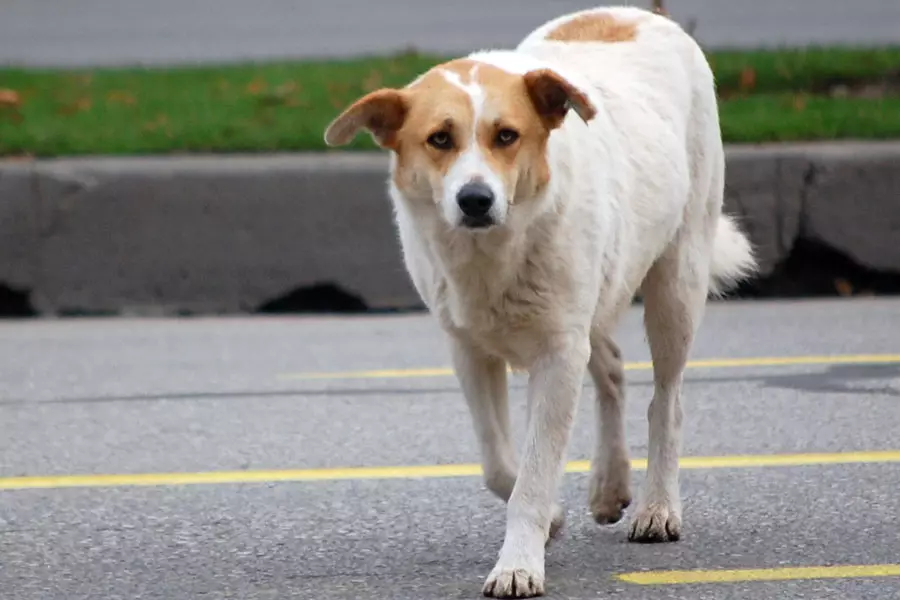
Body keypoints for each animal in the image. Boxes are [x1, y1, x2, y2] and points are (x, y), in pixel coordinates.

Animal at [326, 3, 760, 596]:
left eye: (507, 135)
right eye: (439, 139)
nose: (476, 199)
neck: (492, 253)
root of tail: (637, 12)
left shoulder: (557, 354)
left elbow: (532, 475)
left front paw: (519, 564)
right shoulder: (470, 350)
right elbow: (499, 465)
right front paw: (552, 518)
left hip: (677, 281)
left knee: (666, 400)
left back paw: (657, 507)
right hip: (595, 297)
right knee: (611, 367)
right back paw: (609, 485)